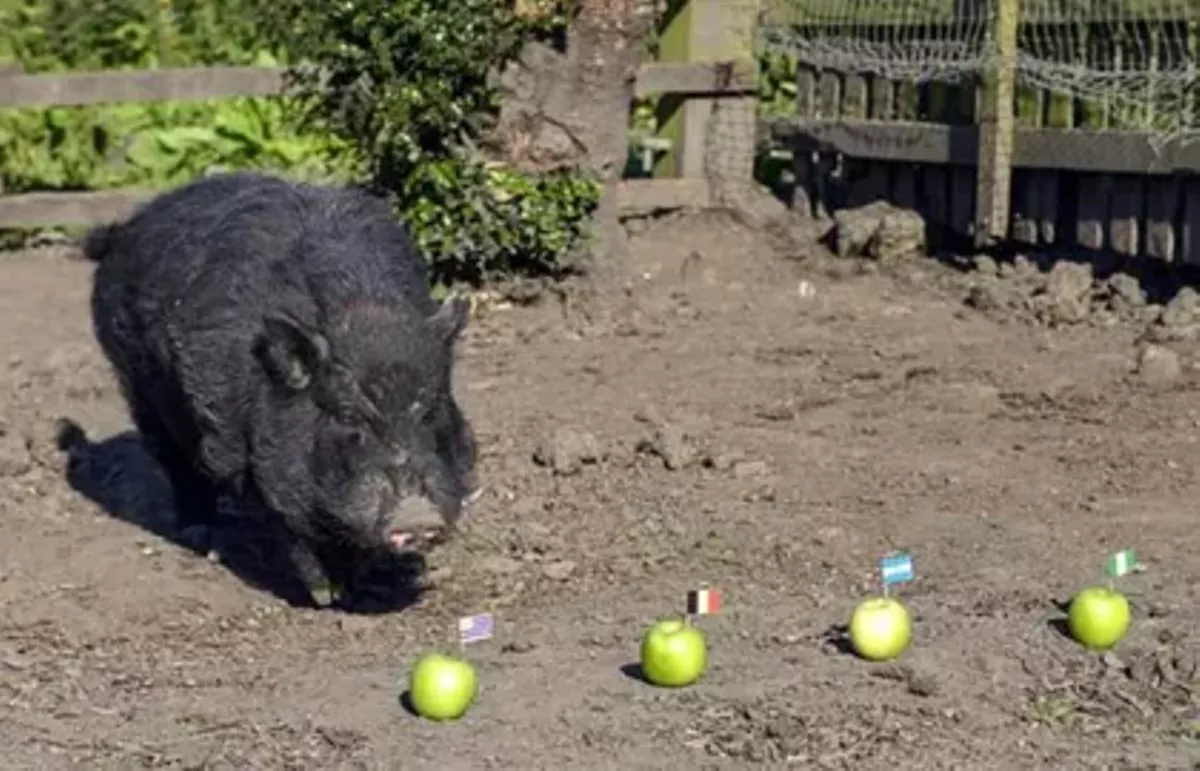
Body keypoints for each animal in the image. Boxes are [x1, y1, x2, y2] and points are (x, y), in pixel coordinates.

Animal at [82, 171, 478, 607]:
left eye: (430, 410)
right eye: (347, 417)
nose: (418, 516)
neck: (362, 311)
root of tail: (129, 227)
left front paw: (361, 585)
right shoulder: (250, 451)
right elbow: (292, 524)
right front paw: (328, 598)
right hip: (135, 382)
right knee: (173, 459)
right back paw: (202, 538)